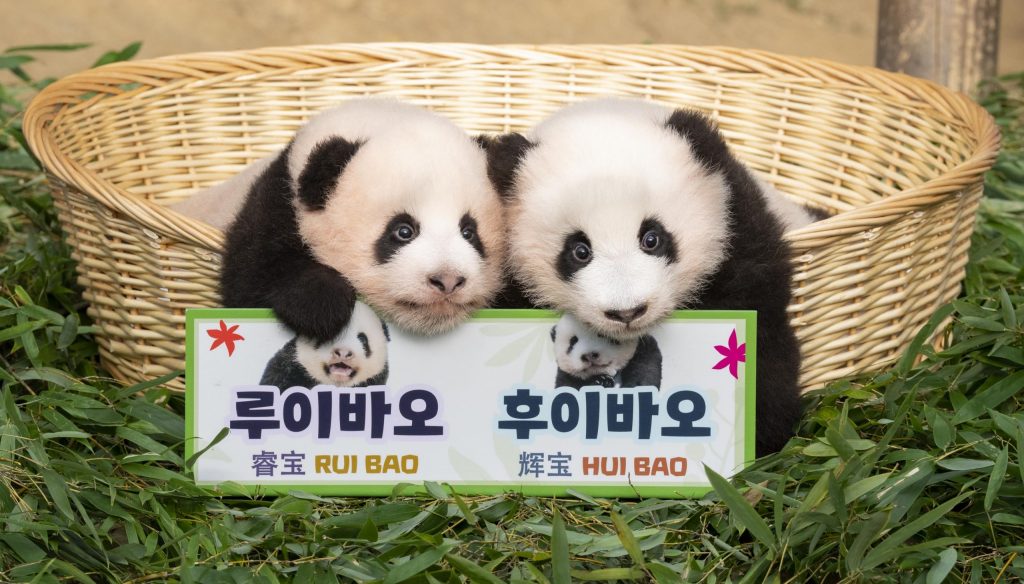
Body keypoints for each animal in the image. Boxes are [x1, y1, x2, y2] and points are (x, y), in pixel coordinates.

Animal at [221, 99, 506, 345]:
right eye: (403, 231)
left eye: (469, 232)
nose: (447, 280)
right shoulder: (277, 202)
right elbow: (252, 272)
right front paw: (321, 306)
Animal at [483, 98, 802, 457]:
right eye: (579, 251)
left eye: (652, 238)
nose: (627, 312)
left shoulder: (738, 231)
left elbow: (762, 334)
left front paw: (763, 435)